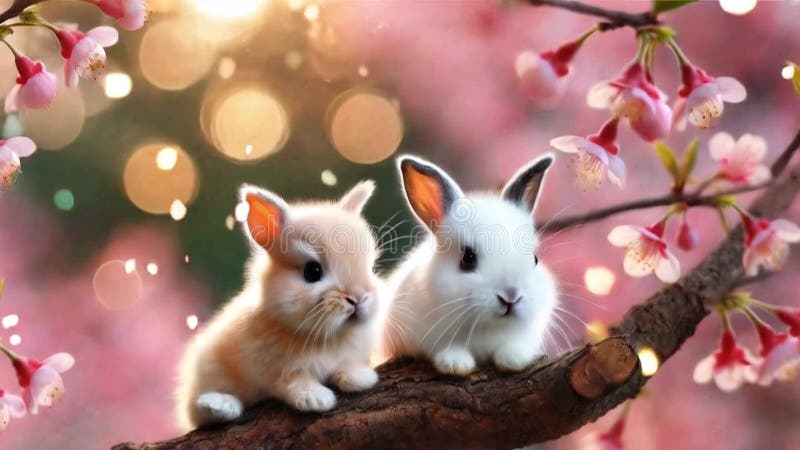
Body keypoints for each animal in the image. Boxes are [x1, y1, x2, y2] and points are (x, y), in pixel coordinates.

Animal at [176, 181, 382, 430]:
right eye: (312, 271)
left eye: (370, 267)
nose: (358, 297)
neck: (327, 337)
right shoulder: (277, 370)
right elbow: (292, 383)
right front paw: (315, 399)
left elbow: (347, 366)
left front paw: (360, 378)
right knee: (198, 412)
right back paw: (219, 404)